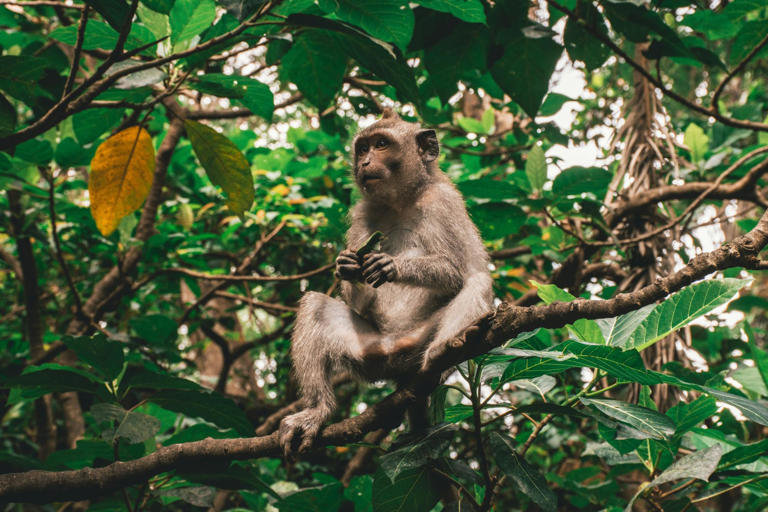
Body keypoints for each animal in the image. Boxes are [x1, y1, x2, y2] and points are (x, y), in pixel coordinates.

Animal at [278, 109, 494, 455]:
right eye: (362, 148)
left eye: (381, 144)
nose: (365, 162)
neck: (402, 201)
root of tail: (398, 353)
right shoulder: (362, 212)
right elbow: (357, 298)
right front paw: (348, 265)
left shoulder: (442, 201)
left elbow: (459, 272)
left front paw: (392, 265)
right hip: (370, 353)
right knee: (314, 305)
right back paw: (317, 410)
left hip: (421, 340)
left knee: (478, 282)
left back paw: (443, 350)